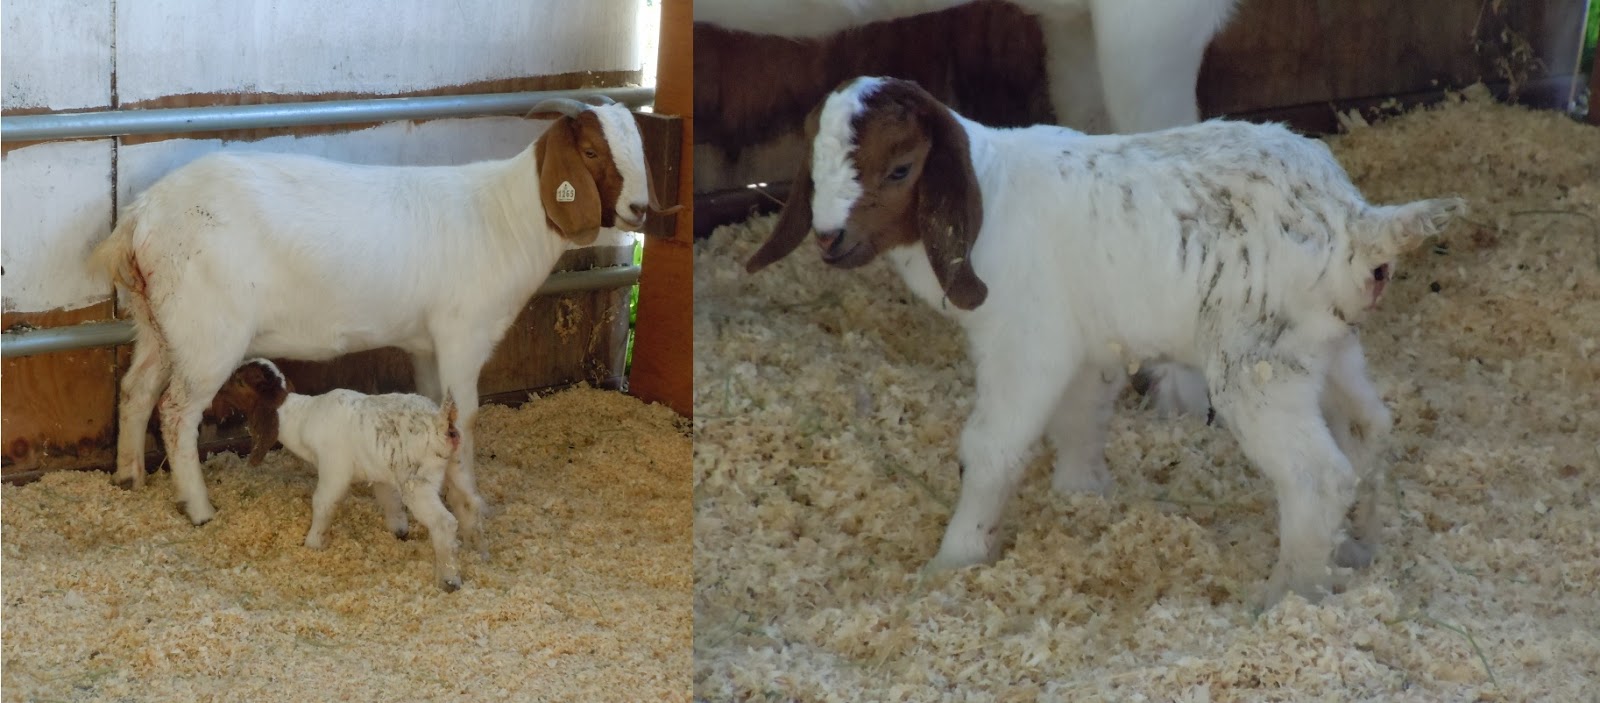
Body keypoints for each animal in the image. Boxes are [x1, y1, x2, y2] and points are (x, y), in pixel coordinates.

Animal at [88, 96, 675, 542]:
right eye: (592, 150)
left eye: (638, 149)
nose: (639, 211)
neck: (505, 219)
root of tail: (140, 218)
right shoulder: (463, 334)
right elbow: (466, 417)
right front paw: (472, 504)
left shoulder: (428, 345)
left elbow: (440, 411)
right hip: (208, 332)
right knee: (176, 412)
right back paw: (198, 507)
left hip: (158, 322)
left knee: (136, 390)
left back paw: (128, 477)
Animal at [216, 359, 465, 591]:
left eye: (239, 381)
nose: (217, 392)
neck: (299, 417)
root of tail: (440, 421)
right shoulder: (381, 472)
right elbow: (390, 501)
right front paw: (399, 531)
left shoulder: (333, 469)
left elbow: (323, 503)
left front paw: (313, 543)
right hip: (450, 470)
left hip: (417, 482)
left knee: (445, 523)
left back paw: (449, 580)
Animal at [745, 77, 1466, 605]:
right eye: (813, 165)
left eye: (899, 169)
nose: (829, 238)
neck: (988, 196)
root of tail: (1359, 222)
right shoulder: (1086, 347)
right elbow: (1080, 418)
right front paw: (1081, 496)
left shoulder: (1026, 342)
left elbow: (992, 446)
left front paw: (954, 559)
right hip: (1328, 342)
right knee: (1368, 425)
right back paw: (1357, 549)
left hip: (1256, 362)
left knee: (1317, 474)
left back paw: (1287, 595)